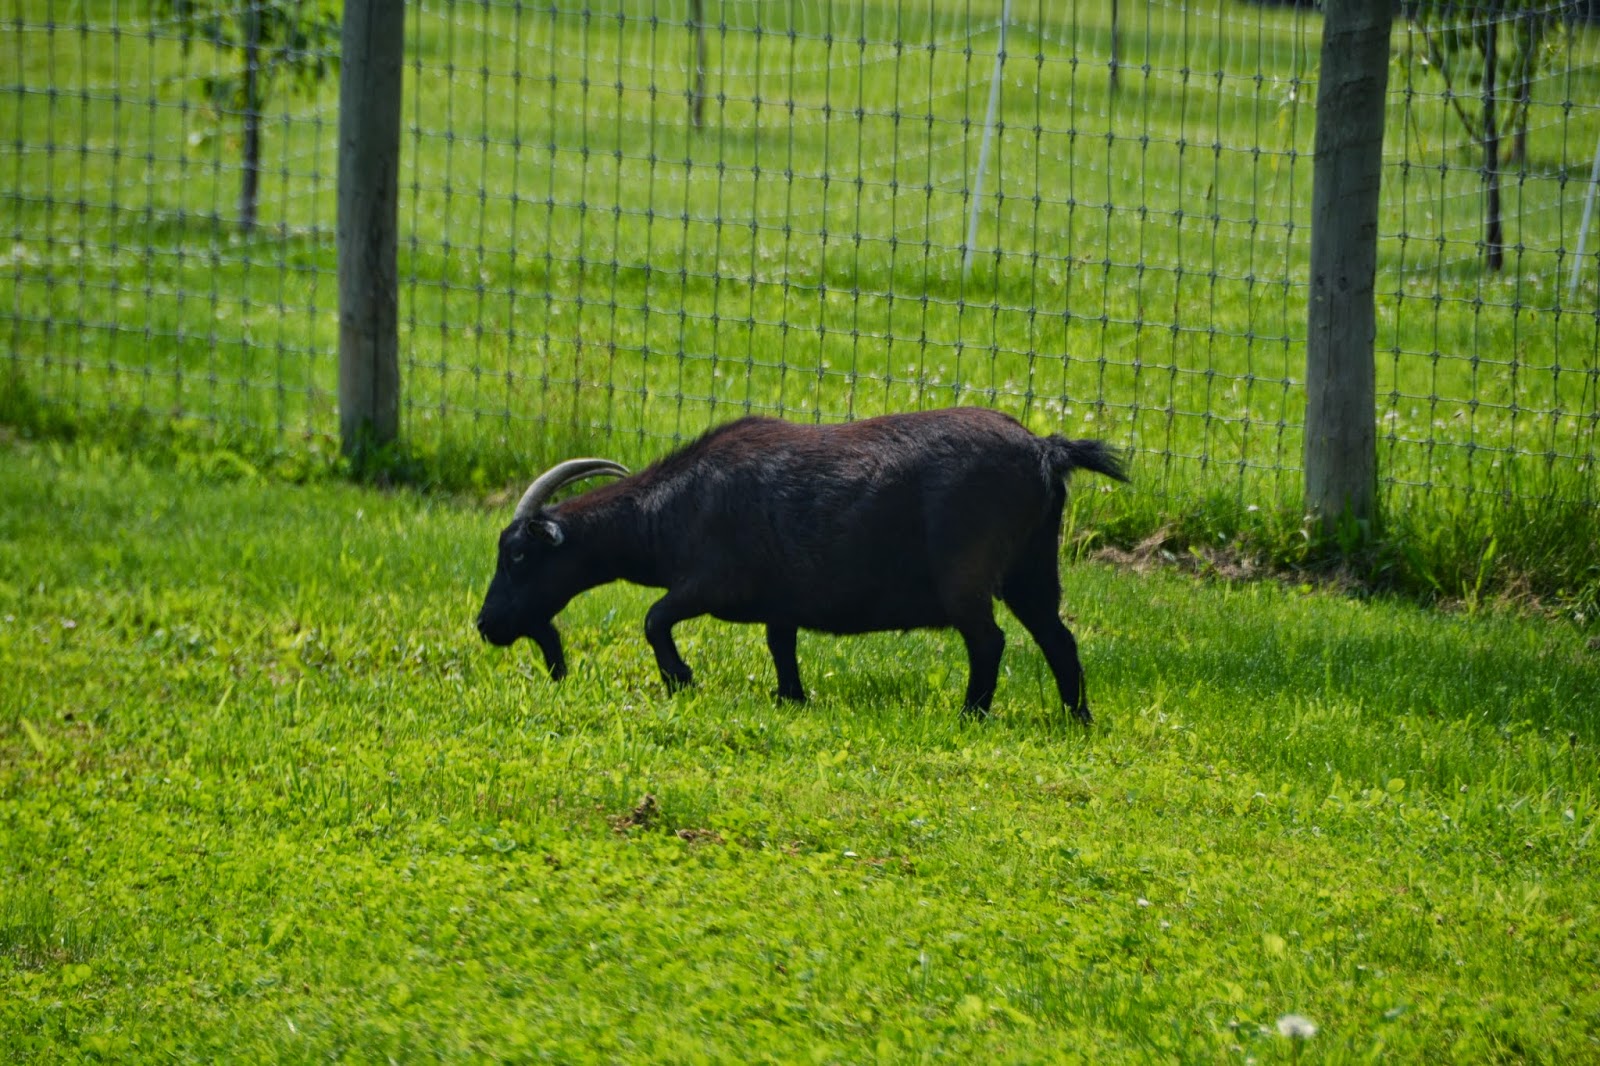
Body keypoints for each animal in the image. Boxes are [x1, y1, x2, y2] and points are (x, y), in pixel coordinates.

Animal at [475, 407, 1128, 720]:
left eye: (518, 555)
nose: (487, 625)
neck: (671, 508)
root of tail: (1045, 449)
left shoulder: (710, 582)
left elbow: (655, 619)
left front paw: (681, 680)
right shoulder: (779, 603)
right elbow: (780, 645)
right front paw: (791, 698)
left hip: (967, 579)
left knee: (988, 641)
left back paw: (971, 714)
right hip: (1033, 570)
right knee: (1058, 639)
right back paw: (1077, 718)